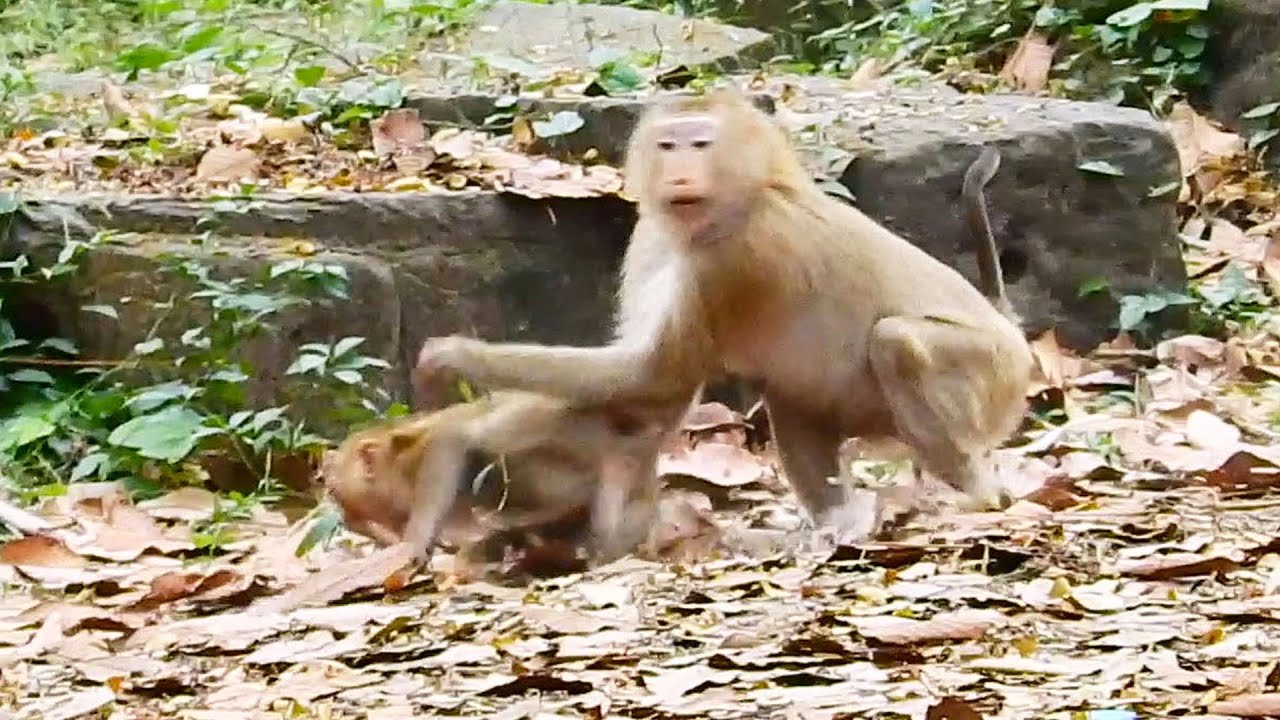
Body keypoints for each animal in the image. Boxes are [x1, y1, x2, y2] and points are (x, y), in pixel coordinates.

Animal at [413, 89, 1033, 537]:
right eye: (669, 146)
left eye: (700, 143)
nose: (680, 171)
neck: (745, 196)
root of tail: (1009, 329)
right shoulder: (651, 236)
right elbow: (643, 395)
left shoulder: (733, 262)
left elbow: (655, 377)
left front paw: (456, 358)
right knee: (791, 393)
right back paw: (837, 524)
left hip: (995, 376)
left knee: (896, 342)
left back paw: (977, 495)